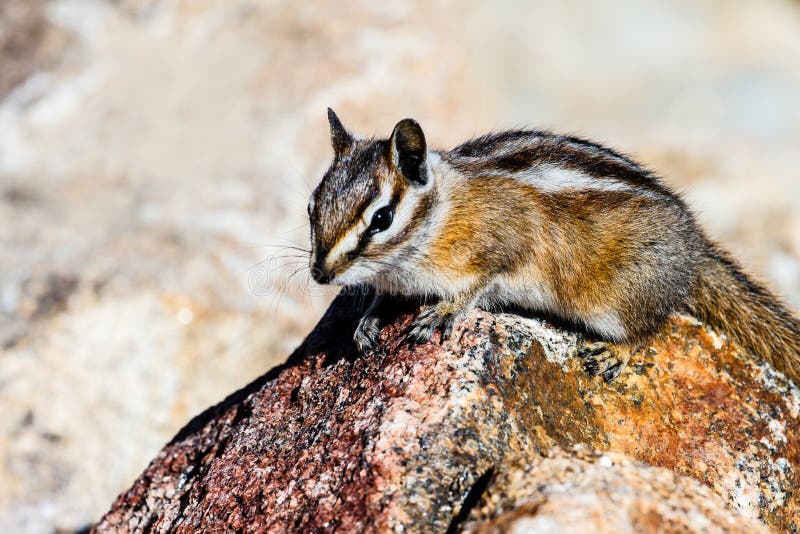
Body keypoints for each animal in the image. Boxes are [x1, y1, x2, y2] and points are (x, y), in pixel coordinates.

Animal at [307, 108, 800, 383]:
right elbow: (379, 296)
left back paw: (617, 351)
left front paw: (444, 311)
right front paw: (367, 321)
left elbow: (479, 284)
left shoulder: (503, 245)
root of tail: (696, 249)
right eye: (312, 204)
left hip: (620, 298)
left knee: (651, 328)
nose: (320, 274)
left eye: (382, 219)